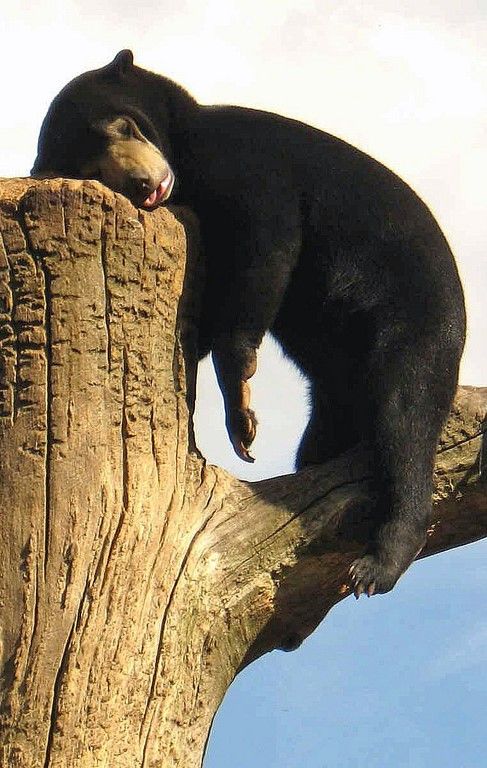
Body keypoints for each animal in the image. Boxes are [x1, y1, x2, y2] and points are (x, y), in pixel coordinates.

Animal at [32, 50, 466, 598]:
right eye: (92, 168)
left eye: (125, 126)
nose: (146, 186)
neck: (190, 158)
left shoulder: (251, 166)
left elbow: (268, 244)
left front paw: (241, 414)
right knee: (334, 428)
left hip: (413, 323)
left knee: (406, 418)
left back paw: (377, 564)